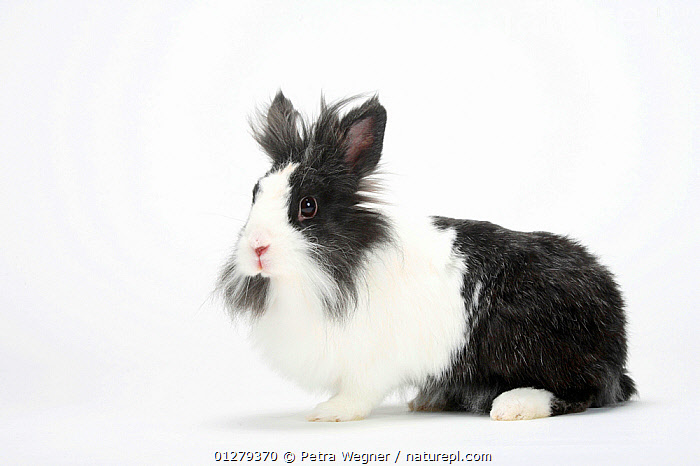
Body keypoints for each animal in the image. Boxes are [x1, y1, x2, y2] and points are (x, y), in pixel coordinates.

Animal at [217, 92, 636, 422]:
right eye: (255, 193)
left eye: (308, 206)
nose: (256, 248)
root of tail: (617, 341)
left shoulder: (372, 361)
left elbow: (359, 391)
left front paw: (329, 412)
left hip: (529, 342)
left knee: (583, 391)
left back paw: (512, 406)